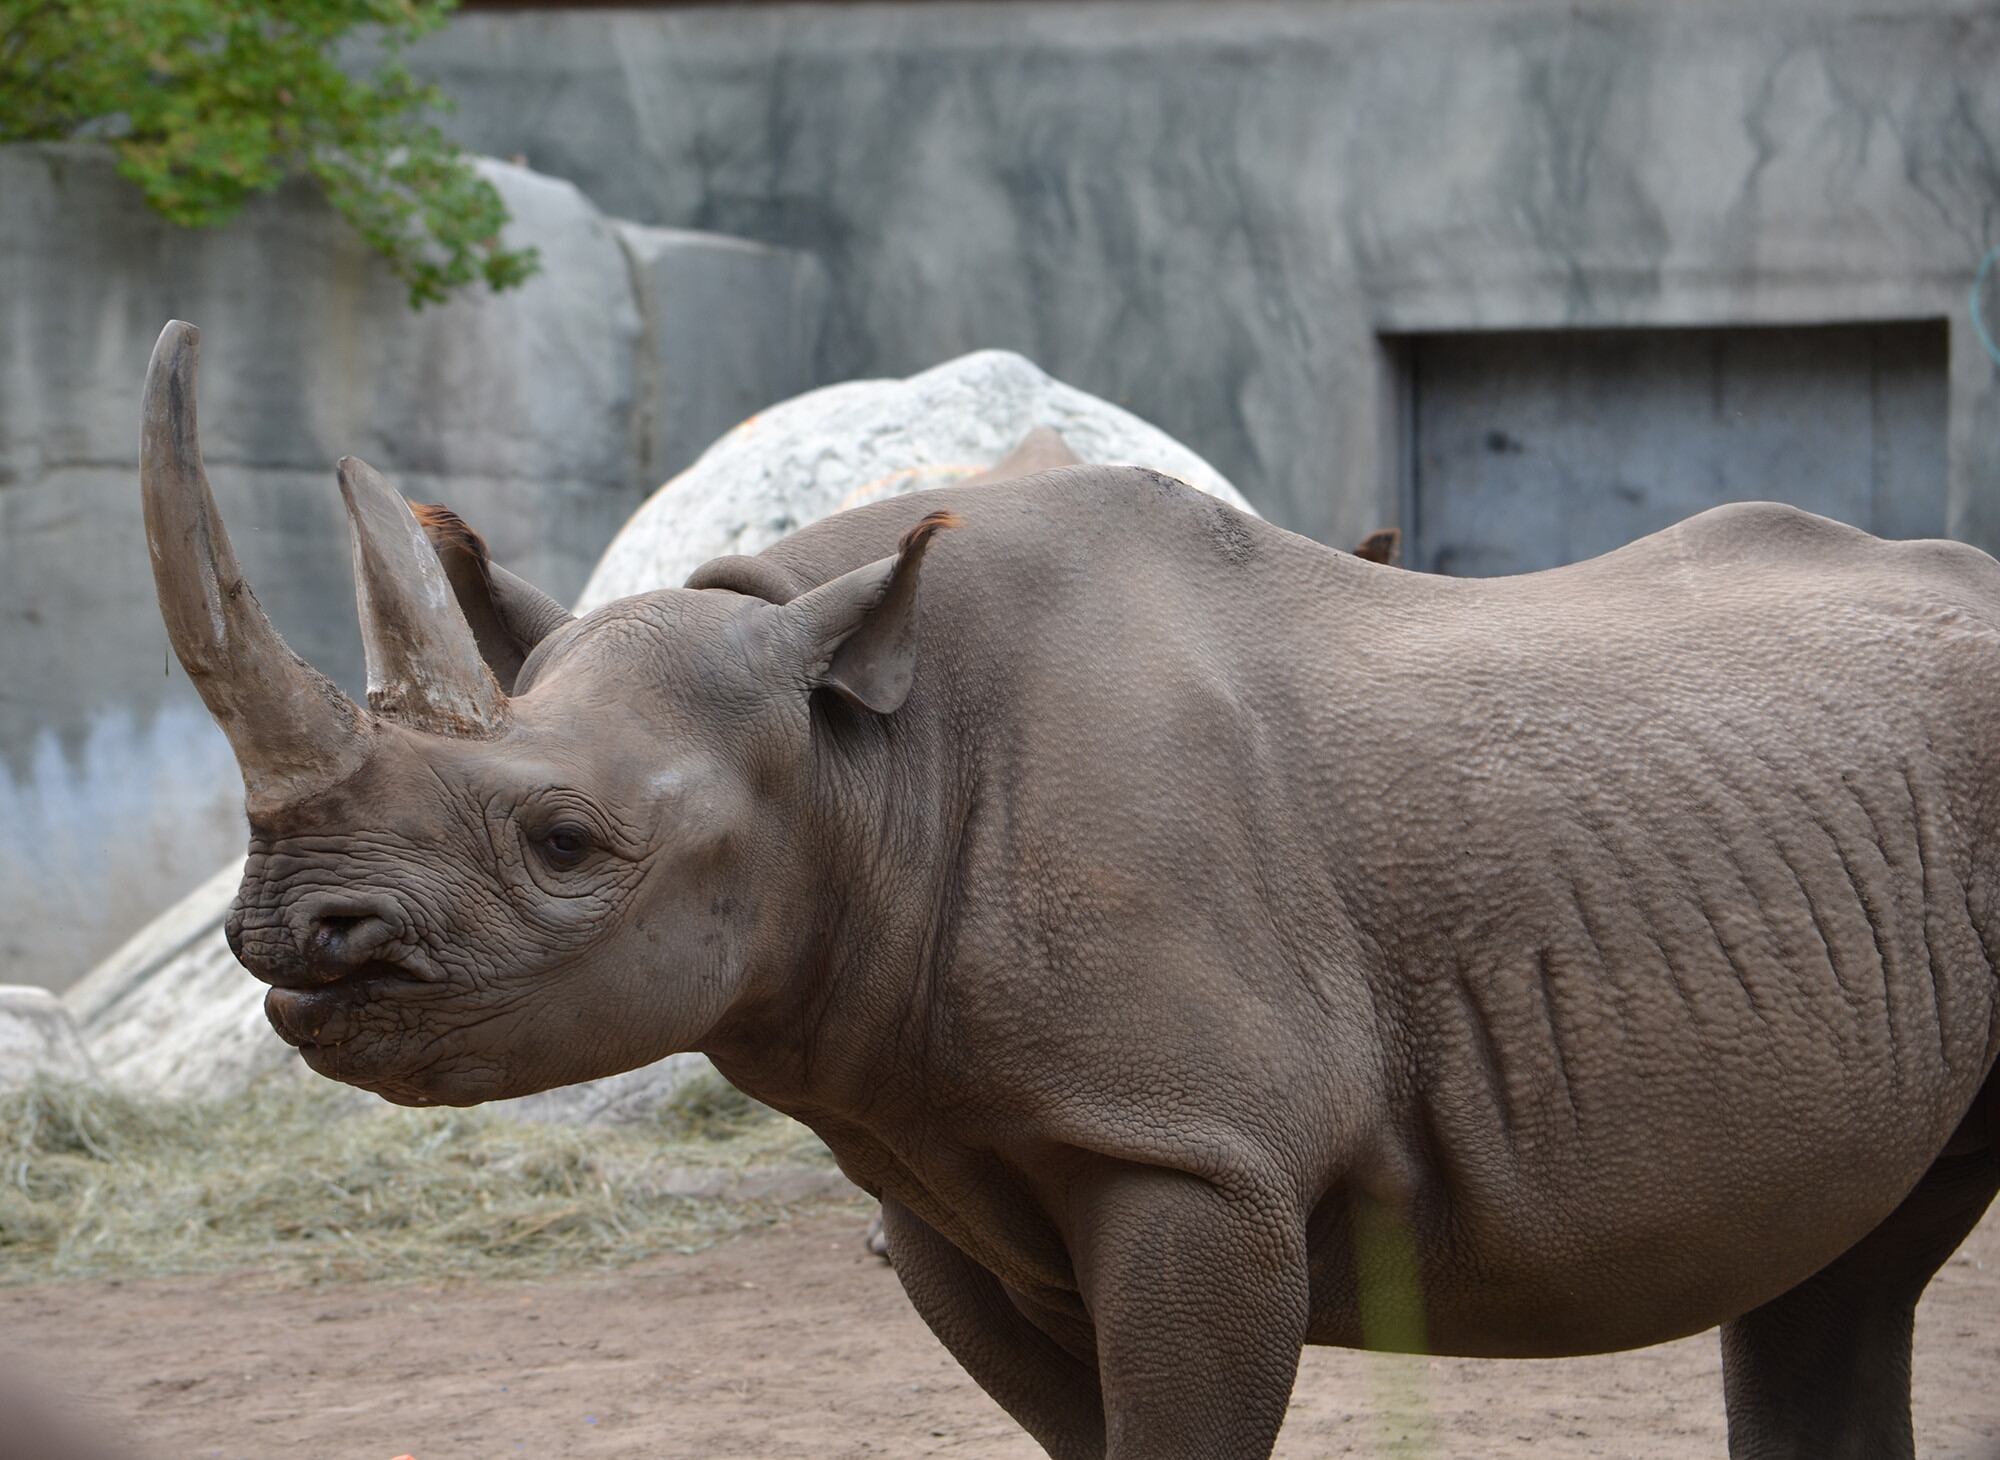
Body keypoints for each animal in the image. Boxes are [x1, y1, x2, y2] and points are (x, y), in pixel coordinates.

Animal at [140, 321, 1996, 1459]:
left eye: (566, 844)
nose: (290, 934)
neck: (853, 753)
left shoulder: (1195, 1151)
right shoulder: (950, 1167)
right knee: (1849, 1267)